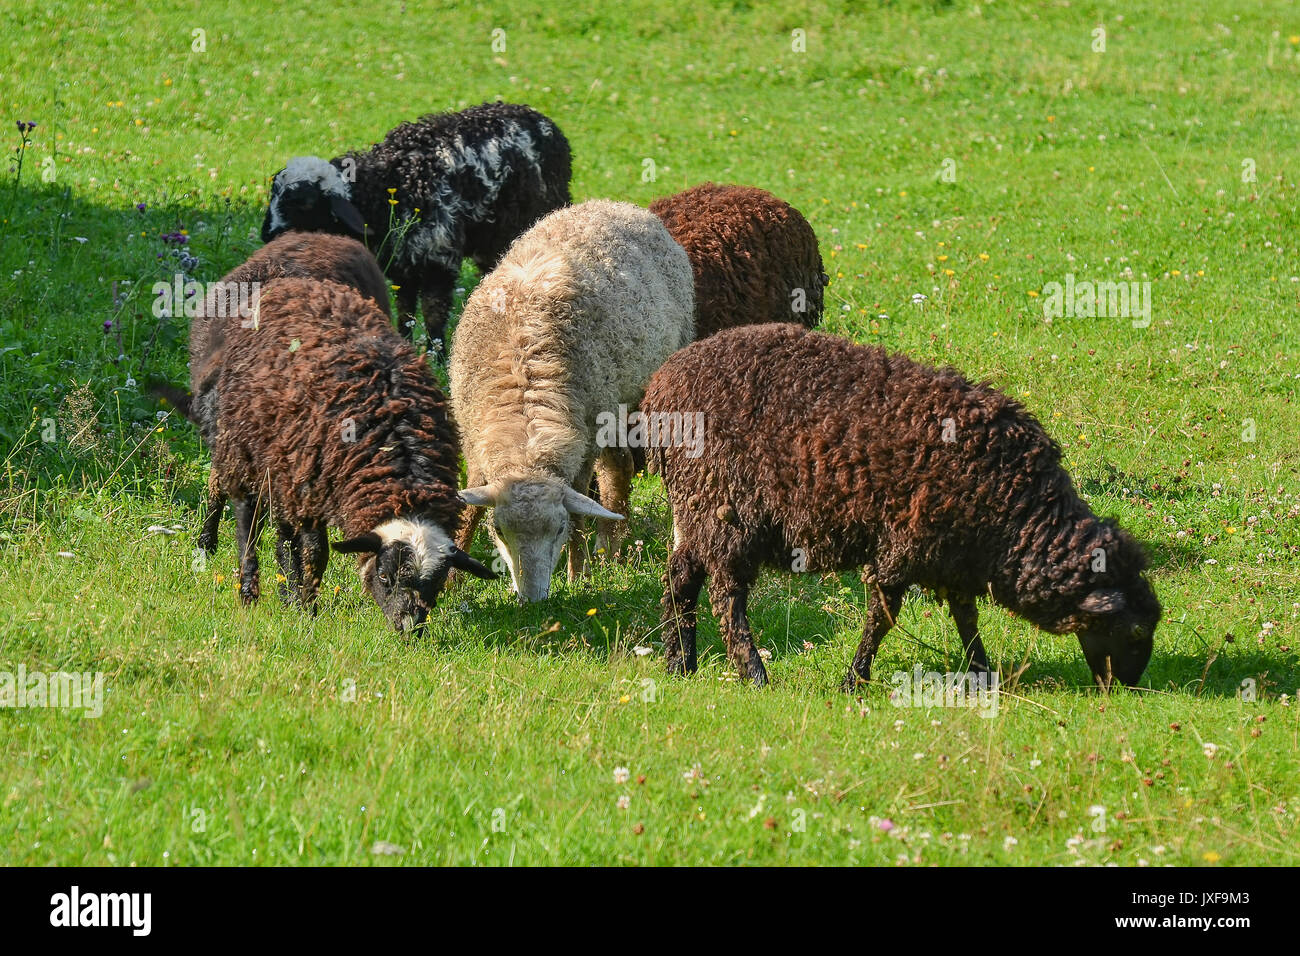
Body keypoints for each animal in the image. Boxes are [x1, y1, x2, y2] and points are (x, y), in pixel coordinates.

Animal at [204, 276, 494, 629]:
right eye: (384, 577)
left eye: (436, 585)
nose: (408, 629)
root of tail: (293, 282)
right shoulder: (313, 488)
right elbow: (315, 554)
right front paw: (307, 611)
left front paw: (296, 600)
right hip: (243, 444)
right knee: (230, 499)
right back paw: (218, 558)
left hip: (283, 466)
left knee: (282, 533)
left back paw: (285, 590)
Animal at [261, 101, 572, 346]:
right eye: (273, 194)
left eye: (305, 202)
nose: (268, 234)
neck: (385, 186)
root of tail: (542, 119)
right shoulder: (403, 266)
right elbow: (407, 311)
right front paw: (406, 342)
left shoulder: (438, 259)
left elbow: (433, 315)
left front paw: (438, 354)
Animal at [449, 199, 695, 602]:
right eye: (498, 531)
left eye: (559, 529)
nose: (532, 600)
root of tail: (615, 204)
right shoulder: (475, 440)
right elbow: (469, 511)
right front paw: (452, 577)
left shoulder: (583, 444)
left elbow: (580, 506)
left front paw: (578, 572)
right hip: (611, 404)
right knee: (619, 464)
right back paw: (611, 543)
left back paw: (609, 544)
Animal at [643, 323, 1160, 689]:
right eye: (1135, 633)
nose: (1128, 688)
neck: (1016, 512)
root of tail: (662, 386)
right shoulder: (904, 546)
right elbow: (883, 616)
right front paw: (854, 679)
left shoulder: (953, 556)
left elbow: (965, 618)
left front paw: (982, 674)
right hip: (723, 506)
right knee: (725, 595)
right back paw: (752, 673)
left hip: (693, 508)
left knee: (679, 580)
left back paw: (680, 664)